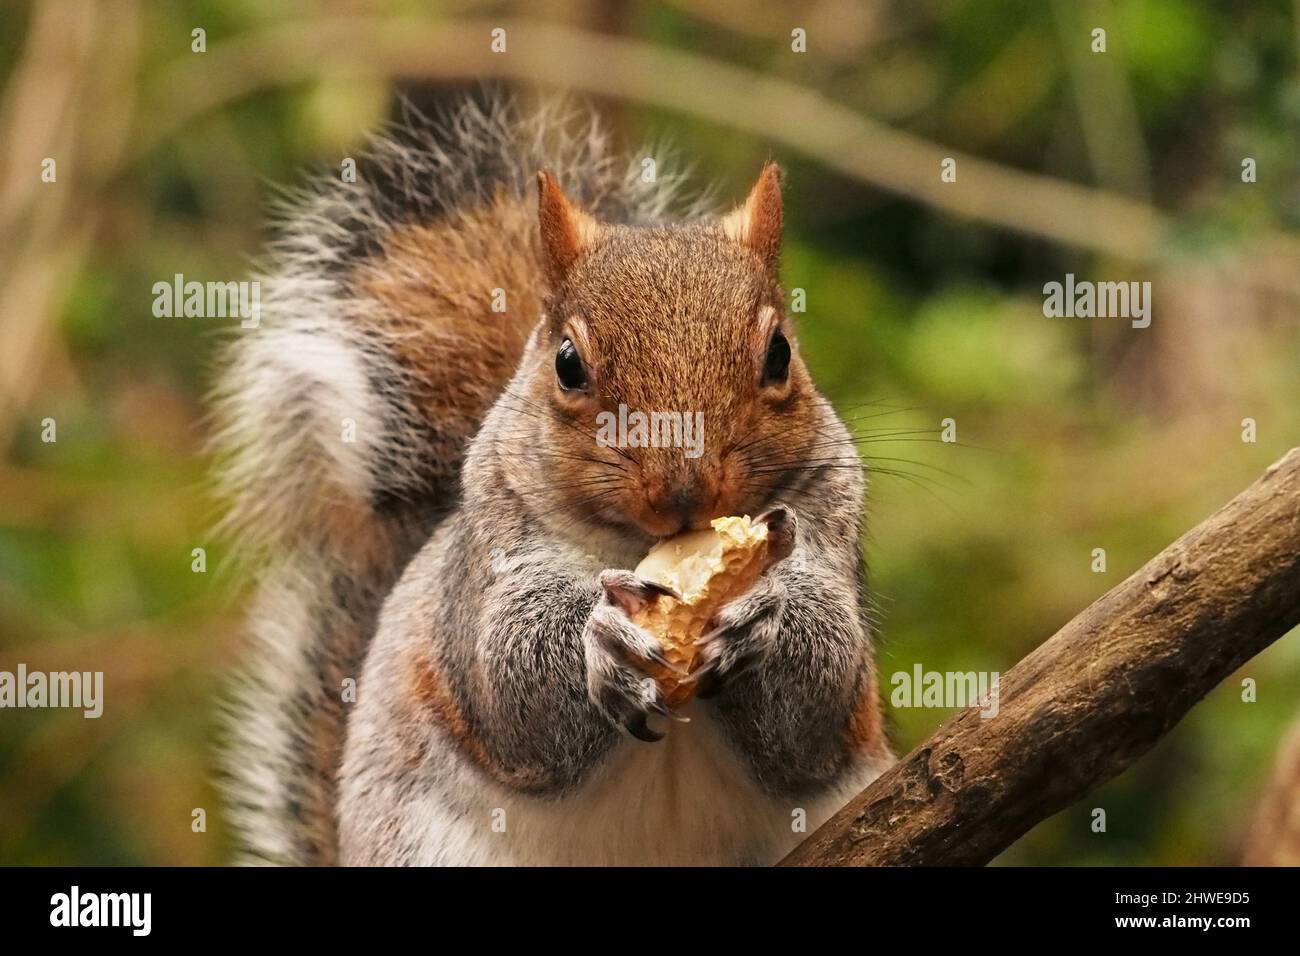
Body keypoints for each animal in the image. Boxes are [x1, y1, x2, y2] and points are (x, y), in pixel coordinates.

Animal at [213, 93, 892, 866]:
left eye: (780, 354)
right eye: (568, 364)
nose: (683, 493)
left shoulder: (832, 524)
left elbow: (820, 703)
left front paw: (761, 617)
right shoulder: (490, 558)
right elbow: (511, 687)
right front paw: (601, 642)